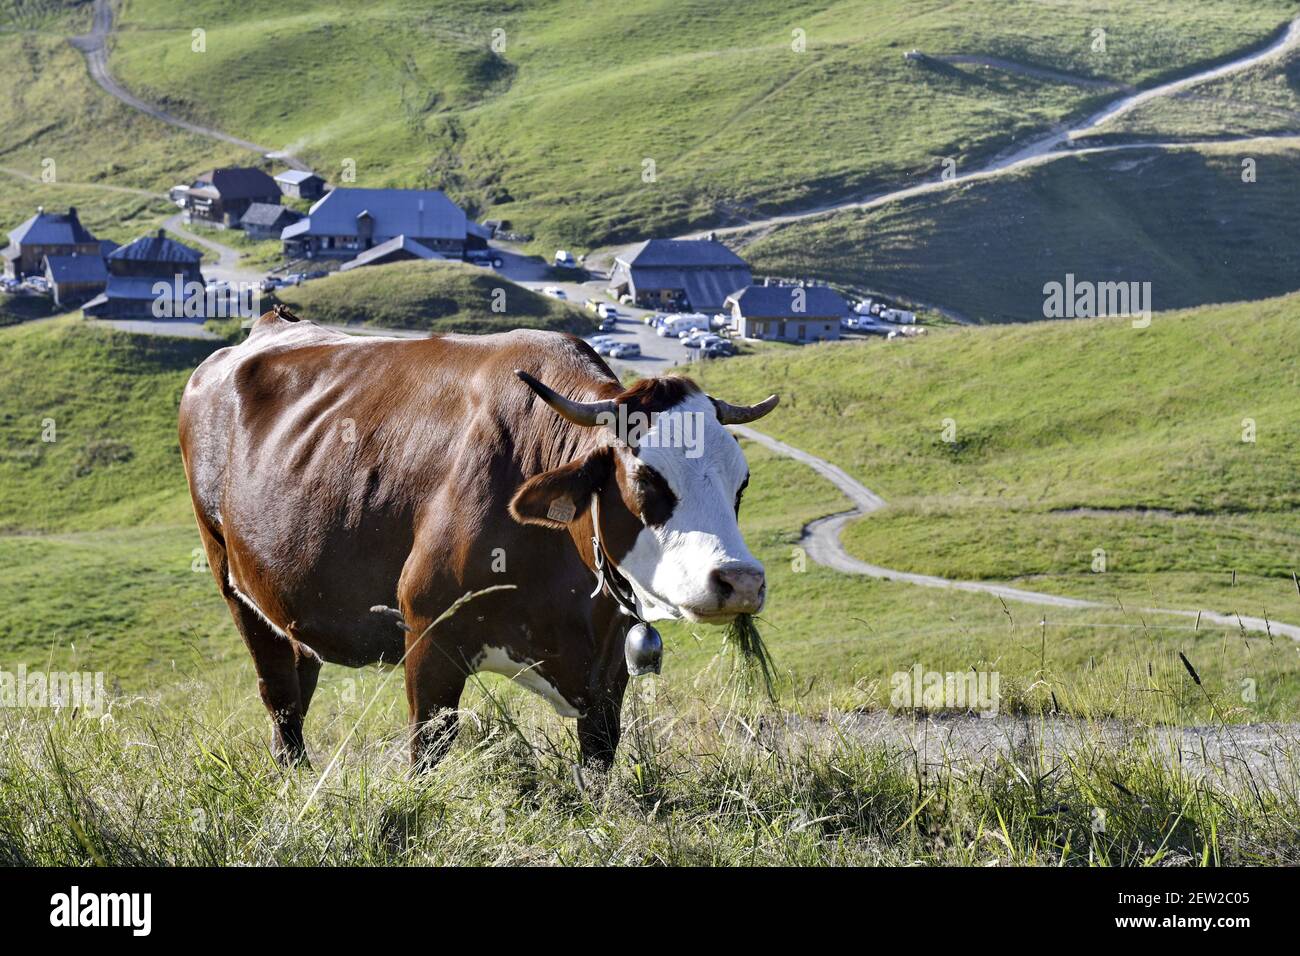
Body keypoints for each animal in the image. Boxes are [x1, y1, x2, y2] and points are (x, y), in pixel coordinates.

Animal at [178, 306, 777, 769]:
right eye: (647, 478)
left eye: (742, 482)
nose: (741, 581)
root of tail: (269, 325)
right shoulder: (429, 632)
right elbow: (427, 752)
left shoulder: (606, 671)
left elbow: (598, 761)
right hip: (233, 583)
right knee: (281, 698)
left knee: (299, 682)